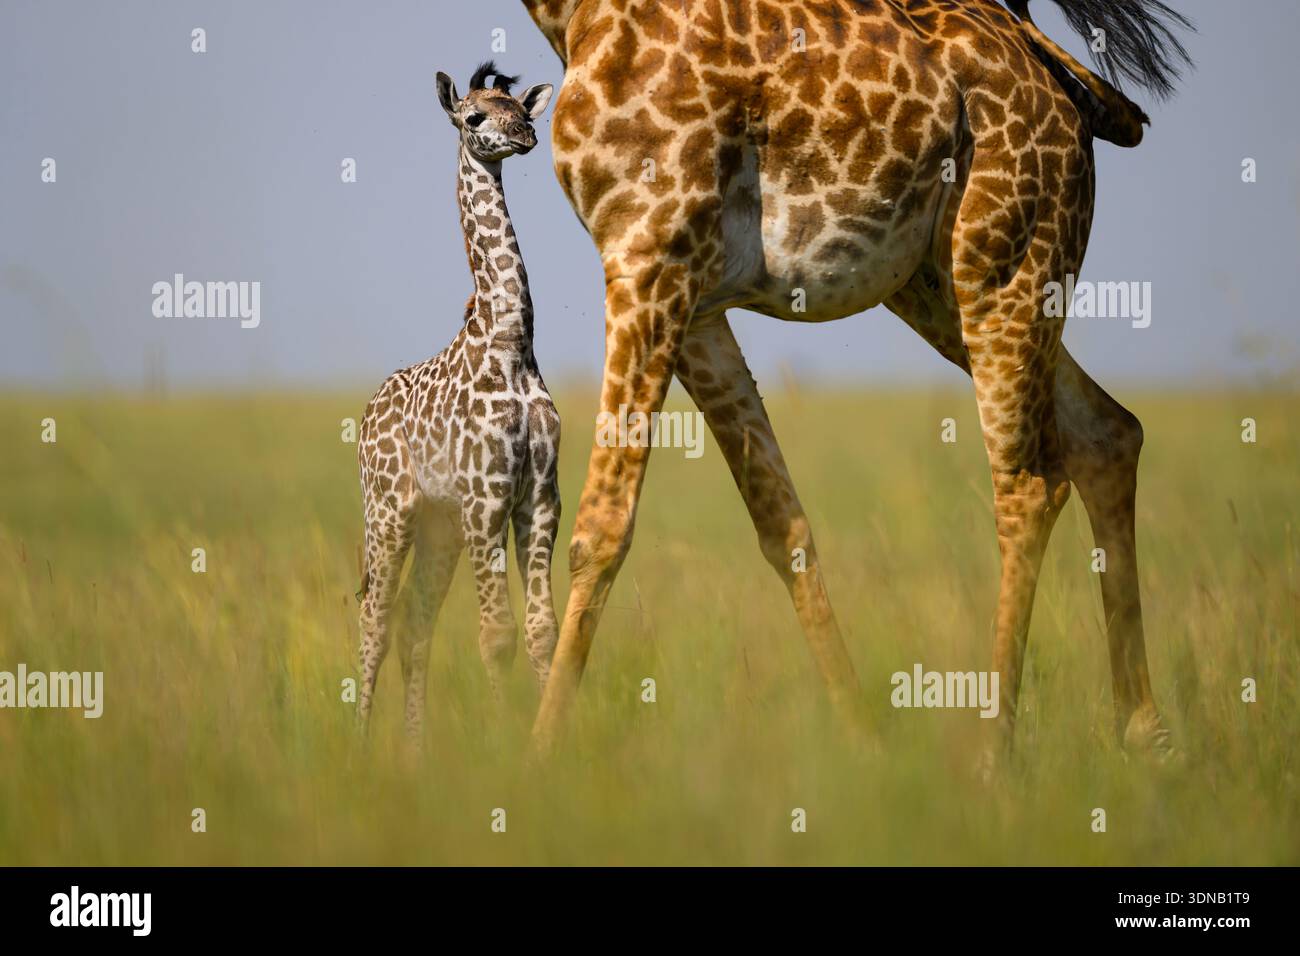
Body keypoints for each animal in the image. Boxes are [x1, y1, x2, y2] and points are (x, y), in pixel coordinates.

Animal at [355, 62, 559, 739]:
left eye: (518, 108)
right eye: (474, 116)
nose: (524, 134)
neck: (512, 343)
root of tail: (365, 416)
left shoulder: (539, 498)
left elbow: (541, 629)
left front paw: (553, 737)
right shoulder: (484, 500)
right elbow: (495, 634)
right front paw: (503, 741)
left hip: (435, 528)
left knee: (414, 629)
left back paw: (414, 752)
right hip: (388, 513)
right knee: (373, 622)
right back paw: (358, 746)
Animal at [520, 0, 1192, 763]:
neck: (572, 17)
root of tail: (1048, 69)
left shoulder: (650, 250)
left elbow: (601, 527)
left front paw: (540, 756)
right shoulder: (697, 301)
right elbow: (781, 525)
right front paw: (860, 737)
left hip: (1003, 264)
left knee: (1029, 481)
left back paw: (994, 753)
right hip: (936, 283)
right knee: (1109, 431)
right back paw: (1146, 732)